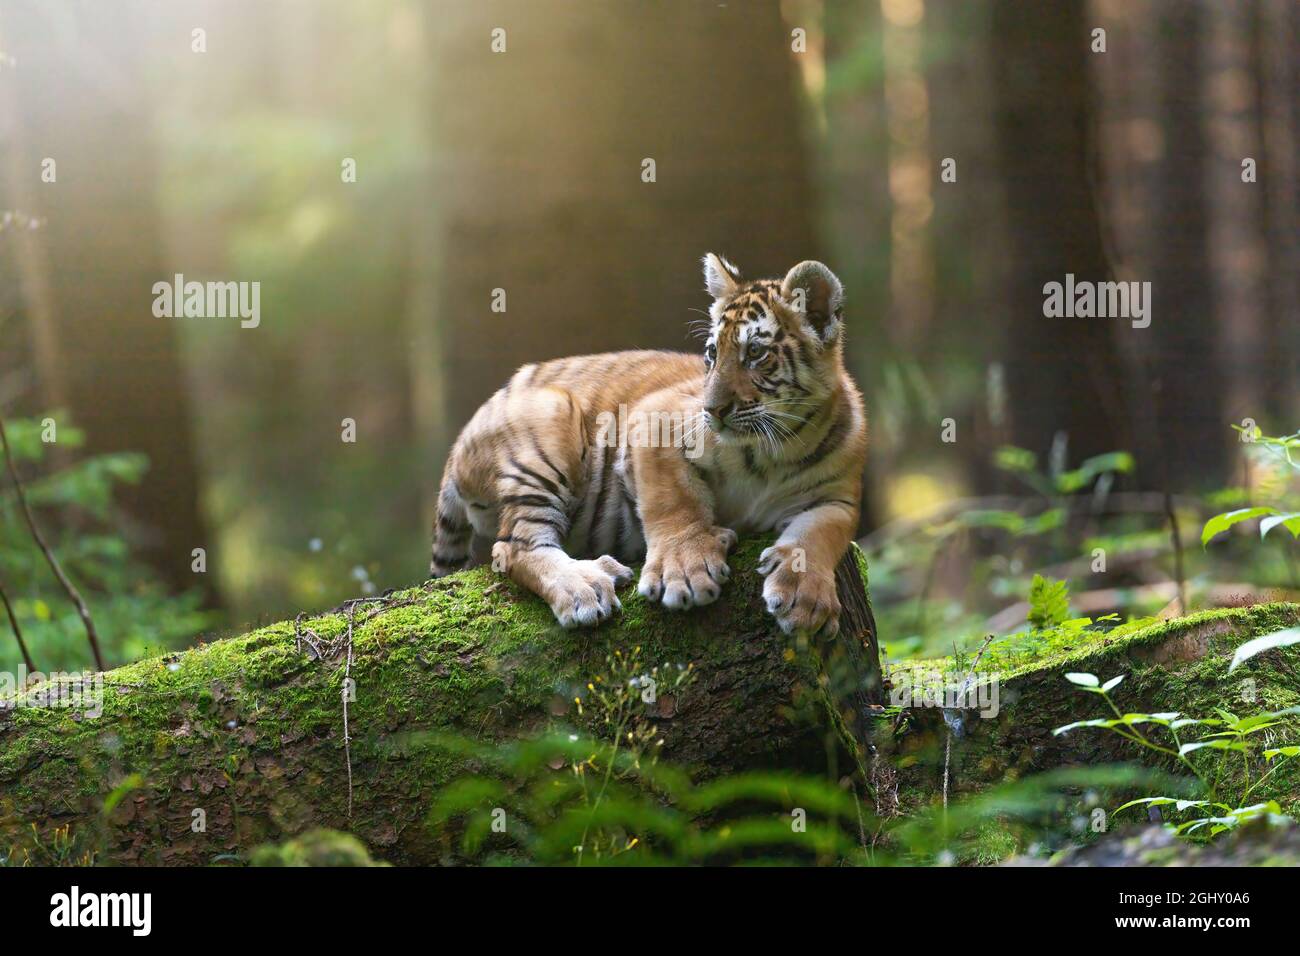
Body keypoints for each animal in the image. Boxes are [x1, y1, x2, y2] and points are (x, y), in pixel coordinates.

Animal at [430, 254, 867, 636]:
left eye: (755, 352)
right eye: (712, 353)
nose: (712, 409)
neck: (775, 447)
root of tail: (454, 451)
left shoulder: (835, 499)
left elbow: (817, 537)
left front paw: (805, 599)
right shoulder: (653, 420)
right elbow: (673, 500)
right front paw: (686, 573)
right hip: (550, 422)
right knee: (512, 548)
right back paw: (585, 587)